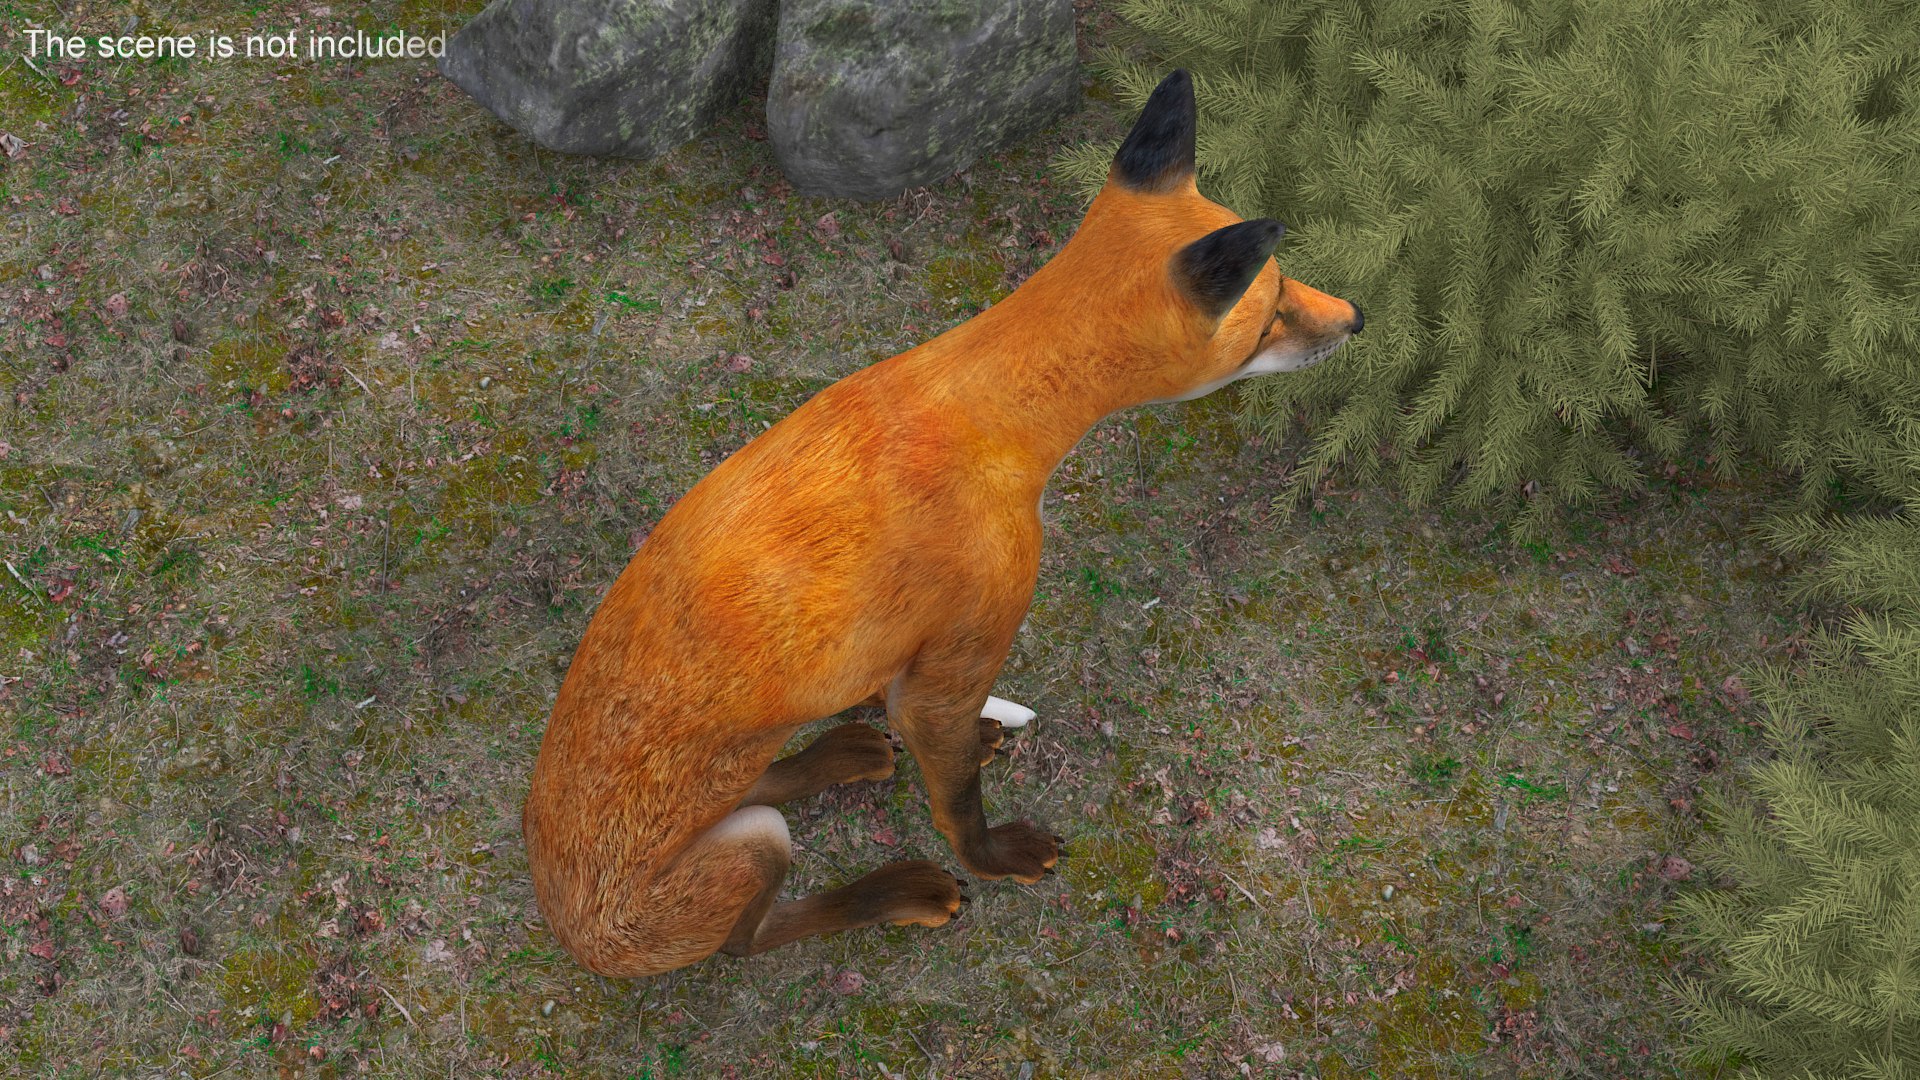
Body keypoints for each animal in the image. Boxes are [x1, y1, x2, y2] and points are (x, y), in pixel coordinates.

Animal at [523, 69, 1364, 977]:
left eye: (1286, 289)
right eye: (1272, 311)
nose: (1357, 317)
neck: (978, 410)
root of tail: (572, 932)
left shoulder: (912, 656)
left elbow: (918, 712)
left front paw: (969, 726)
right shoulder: (966, 640)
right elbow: (959, 804)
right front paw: (996, 859)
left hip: (745, 809)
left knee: (768, 784)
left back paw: (843, 754)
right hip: (751, 852)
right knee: (750, 939)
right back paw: (895, 891)